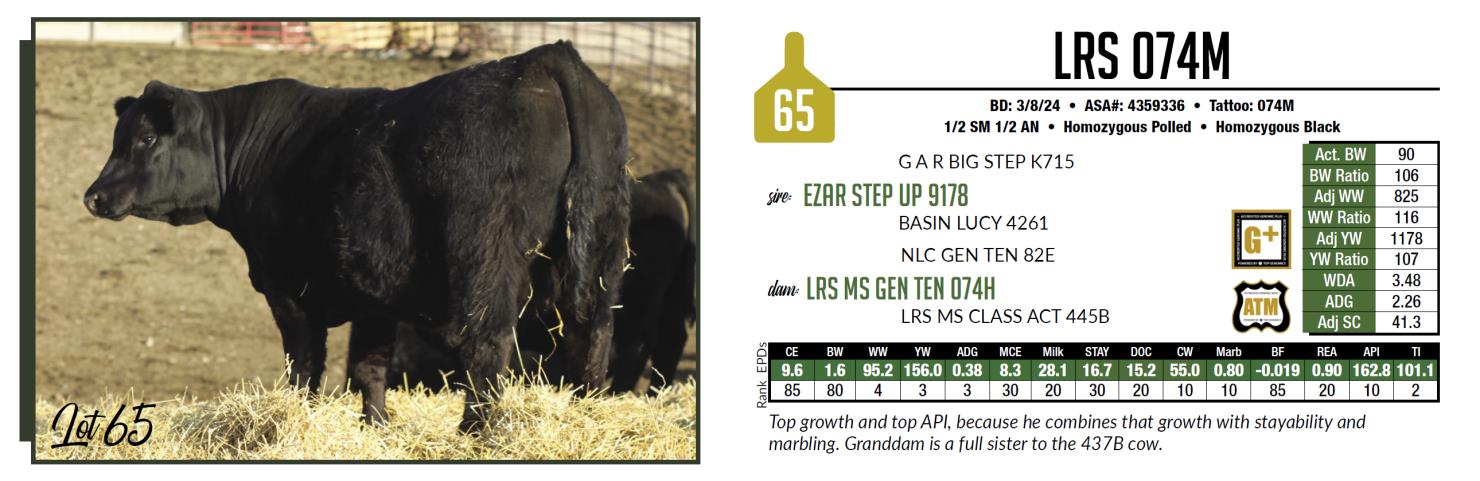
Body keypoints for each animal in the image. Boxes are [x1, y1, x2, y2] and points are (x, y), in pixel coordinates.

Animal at [81, 41, 631, 433]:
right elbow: (369, 367)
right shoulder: (376, 296)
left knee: (488, 342)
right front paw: (377, 427)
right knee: (594, 333)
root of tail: (546, 57)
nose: (93, 196)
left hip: (487, 256)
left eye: (146, 138)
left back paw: (475, 430)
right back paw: (587, 411)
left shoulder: (288, 290)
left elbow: (305, 364)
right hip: (601, 252)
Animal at [389, 169, 695, 395]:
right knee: (670, 339)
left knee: (640, 343)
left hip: (640, 304)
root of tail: (661, 181)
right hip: (670, 299)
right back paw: (655, 393)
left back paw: (620, 393)